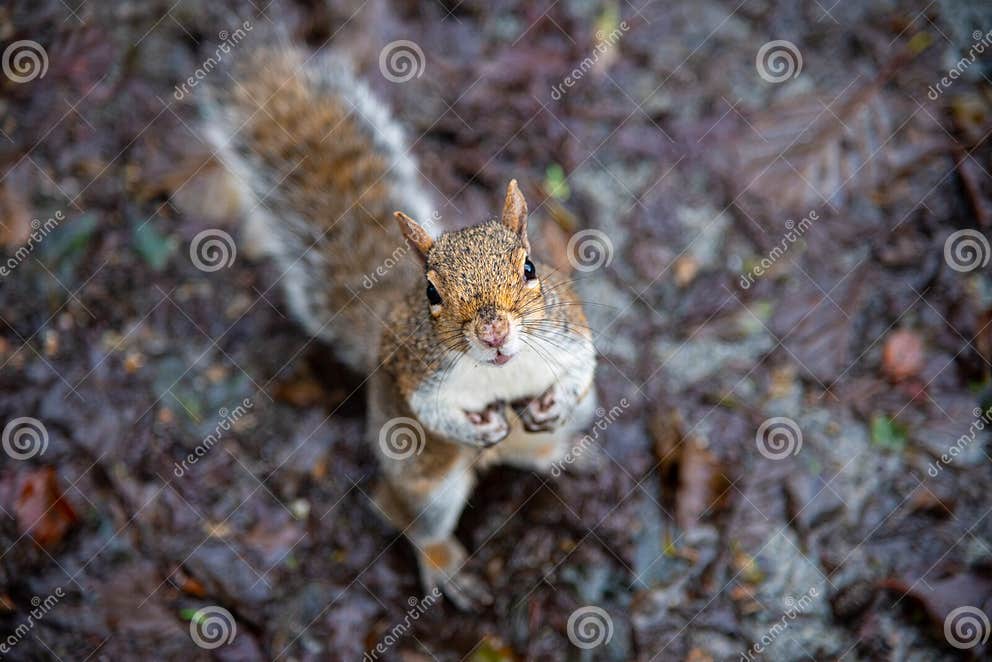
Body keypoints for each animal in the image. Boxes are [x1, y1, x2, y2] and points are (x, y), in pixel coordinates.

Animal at [203, 45, 598, 609]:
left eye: (529, 267)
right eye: (432, 293)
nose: (494, 334)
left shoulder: (569, 331)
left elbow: (583, 364)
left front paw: (553, 401)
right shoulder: (421, 372)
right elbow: (431, 408)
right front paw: (478, 426)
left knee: (537, 448)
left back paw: (559, 452)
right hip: (424, 478)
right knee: (401, 514)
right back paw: (446, 565)